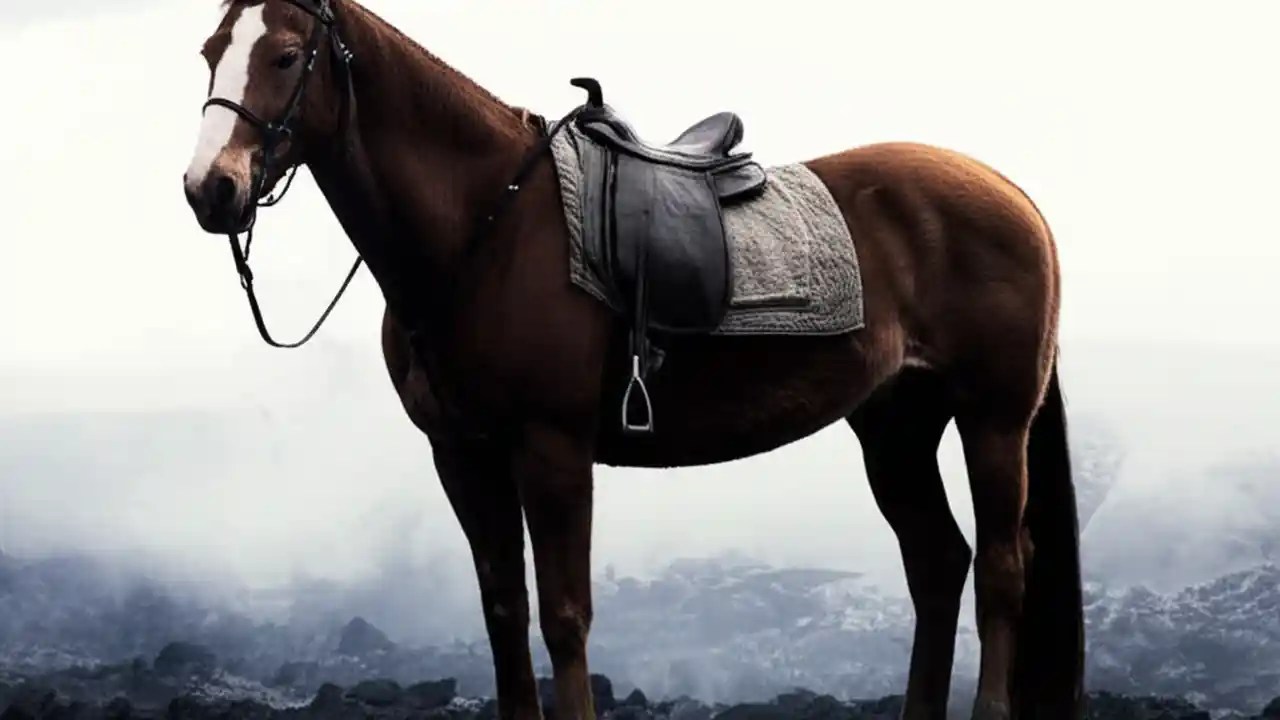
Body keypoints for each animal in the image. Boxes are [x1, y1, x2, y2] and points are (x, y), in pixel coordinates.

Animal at [179, 1, 1085, 719]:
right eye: (210, 51)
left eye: (284, 55)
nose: (209, 189)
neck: (487, 225)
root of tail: (1016, 197)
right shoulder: (463, 455)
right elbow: (503, 610)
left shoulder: (551, 448)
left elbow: (563, 615)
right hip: (895, 428)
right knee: (938, 565)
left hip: (993, 420)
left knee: (1003, 569)